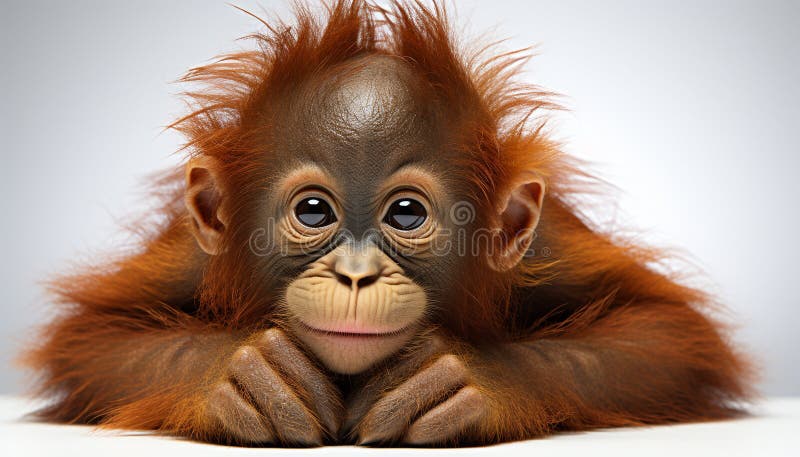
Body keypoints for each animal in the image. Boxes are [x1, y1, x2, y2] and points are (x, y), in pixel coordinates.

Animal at [21, 0, 752, 447]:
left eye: (406, 213)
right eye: (313, 211)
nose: (355, 274)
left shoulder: (542, 247)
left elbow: (669, 333)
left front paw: (470, 380)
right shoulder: (195, 255)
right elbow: (90, 337)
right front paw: (243, 376)